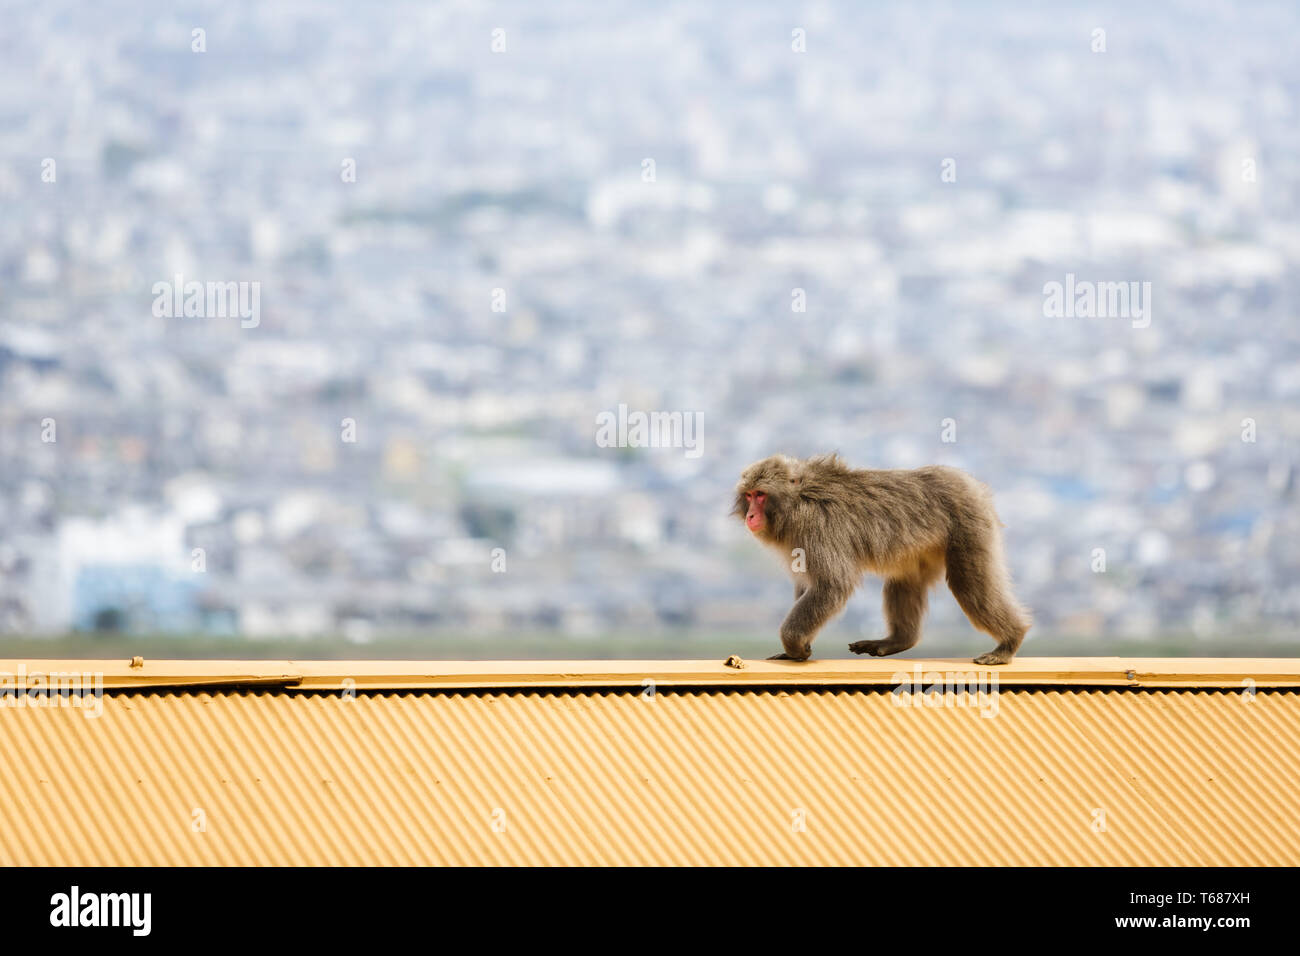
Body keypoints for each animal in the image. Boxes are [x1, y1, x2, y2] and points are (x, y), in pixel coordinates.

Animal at [733, 453, 1031, 665]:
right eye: (749, 495)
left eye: (760, 495)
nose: (750, 515)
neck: (798, 500)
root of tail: (969, 483)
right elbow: (809, 585)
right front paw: (797, 647)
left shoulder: (816, 529)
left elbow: (833, 585)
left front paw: (793, 644)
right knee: (904, 580)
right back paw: (898, 641)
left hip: (969, 525)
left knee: (969, 585)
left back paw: (1009, 642)